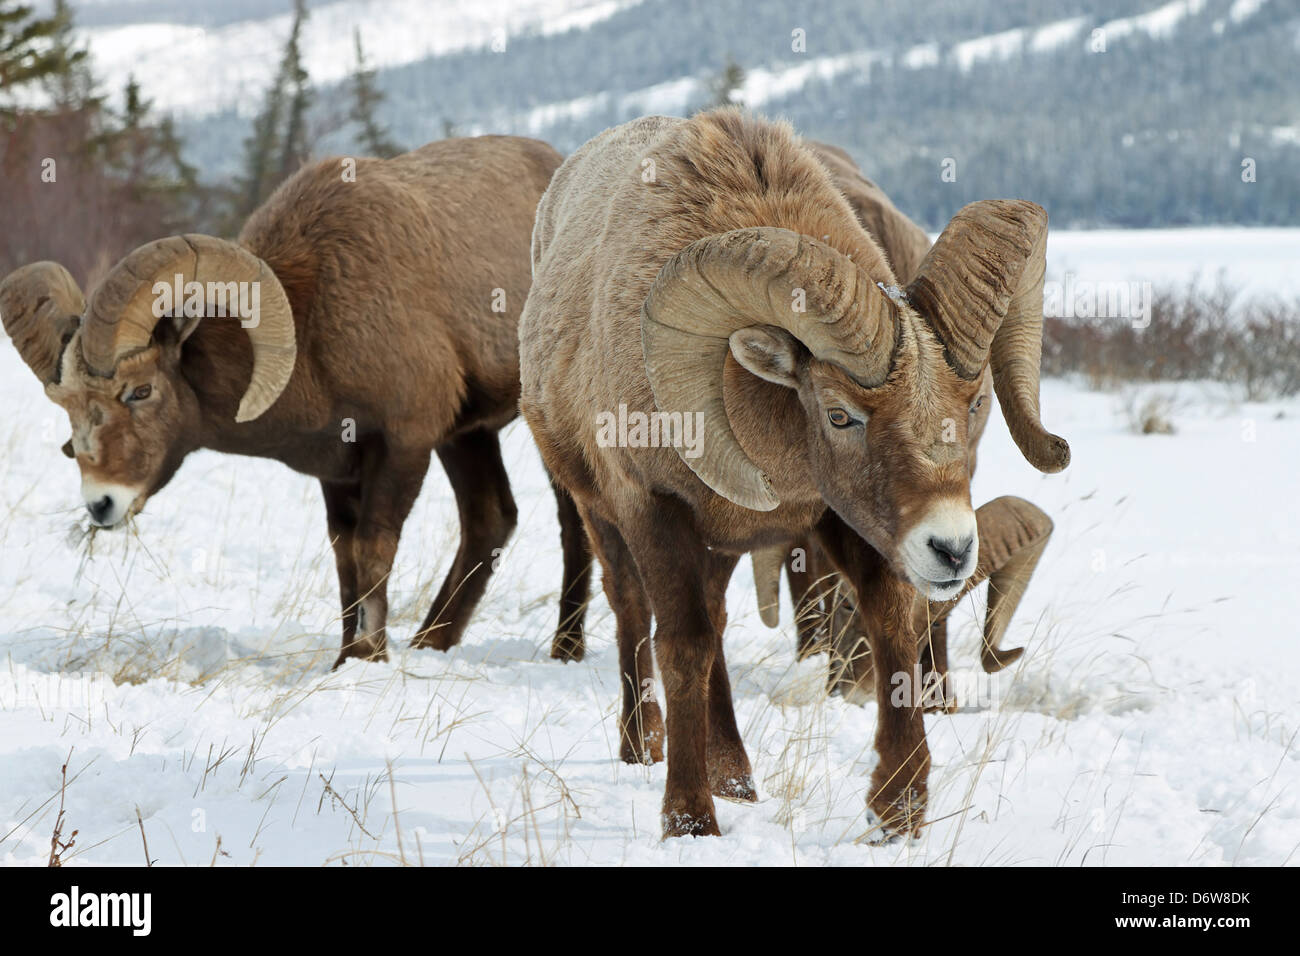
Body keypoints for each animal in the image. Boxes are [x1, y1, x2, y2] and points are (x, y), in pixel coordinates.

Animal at [0, 136, 592, 669]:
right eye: (67, 407)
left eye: (141, 390)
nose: (101, 505)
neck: (316, 325)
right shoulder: (341, 470)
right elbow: (346, 565)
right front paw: (345, 660)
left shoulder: (402, 445)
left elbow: (373, 552)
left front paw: (368, 659)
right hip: (469, 437)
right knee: (490, 519)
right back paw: (431, 645)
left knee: (574, 524)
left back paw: (565, 651)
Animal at [519, 109, 1069, 838]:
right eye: (839, 415)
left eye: (975, 401)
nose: (951, 548)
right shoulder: (654, 509)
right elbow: (682, 644)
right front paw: (689, 820)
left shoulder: (840, 521)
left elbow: (891, 628)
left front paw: (898, 811)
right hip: (599, 512)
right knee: (636, 613)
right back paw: (645, 750)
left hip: (723, 549)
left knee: (718, 625)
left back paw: (737, 779)